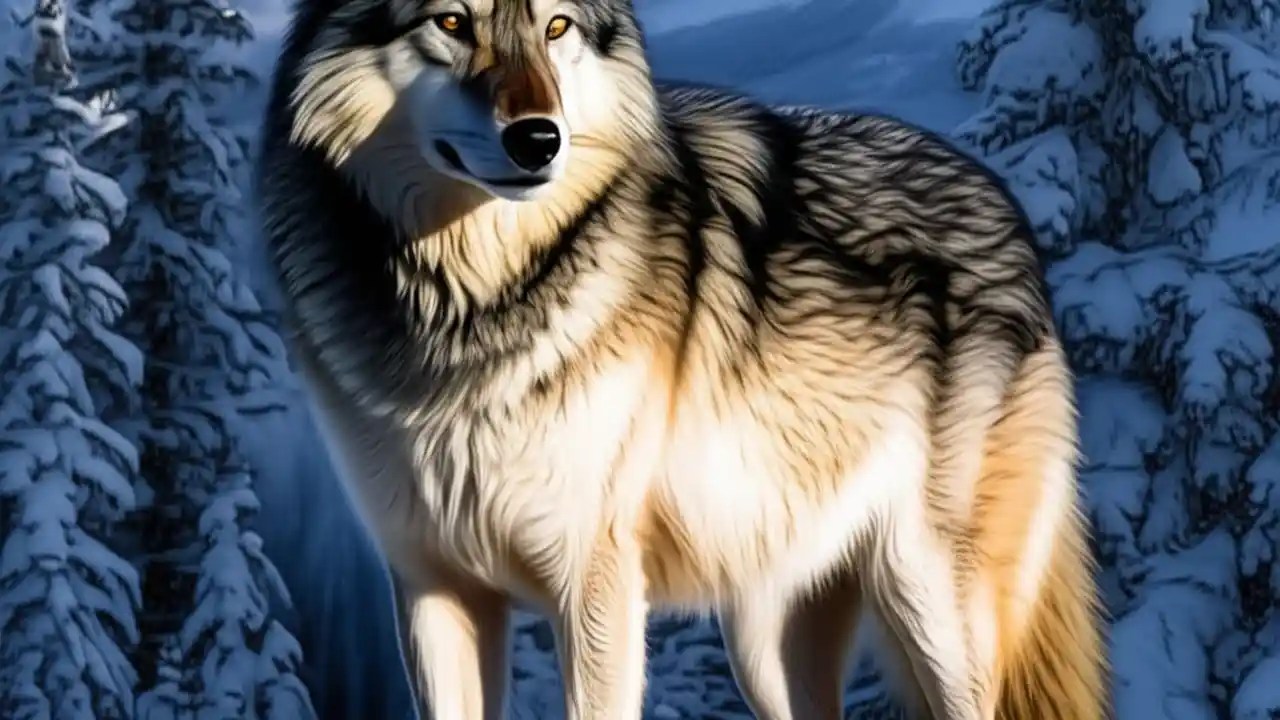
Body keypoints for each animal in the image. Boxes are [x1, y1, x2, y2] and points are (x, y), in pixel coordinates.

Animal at [255, 0, 1108, 718]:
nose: (539, 139)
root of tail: (1006, 204)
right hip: (767, 644)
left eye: (557, 26)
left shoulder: (594, 584)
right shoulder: (434, 586)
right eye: (453, 21)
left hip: (930, 599)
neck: (468, 309)